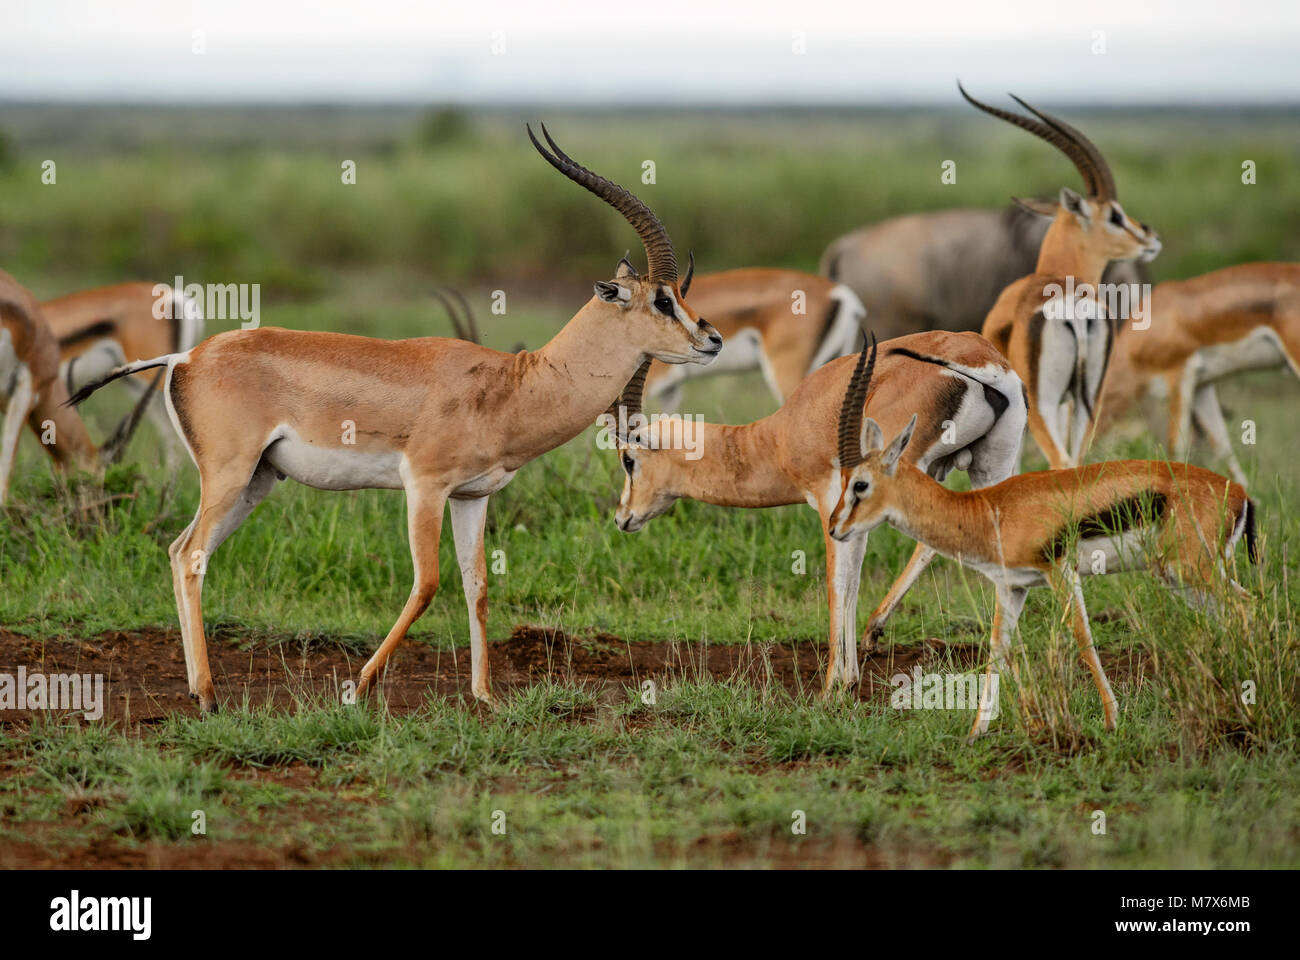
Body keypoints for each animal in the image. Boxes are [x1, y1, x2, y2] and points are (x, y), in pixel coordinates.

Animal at [67, 123, 722, 712]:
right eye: (663, 299)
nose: (712, 339)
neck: (511, 387)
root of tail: (185, 357)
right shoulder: (424, 486)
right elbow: (428, 583)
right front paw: (357, 690)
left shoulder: (472, 496)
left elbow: (477, 585)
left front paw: (486, 696)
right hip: (229, 476)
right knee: (191, 554)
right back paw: (206, 695)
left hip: (256, 481)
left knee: (180, 549)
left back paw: (196, 688)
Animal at [607, 329, 1026, 691]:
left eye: (628, 459)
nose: (622, 517)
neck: (778, 436)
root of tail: (979, 359)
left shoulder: (834, 500)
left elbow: (840, 581)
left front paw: (836, 686)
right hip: (991, 465)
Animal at [827, 341, 1257, 739]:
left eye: (861, 484)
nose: (834, 528)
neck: (988, 510)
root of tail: (1238, 493)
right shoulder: (1012, 587)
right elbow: (997, 651)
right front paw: (976, 733)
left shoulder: (1060, 573)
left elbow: (1083, 638)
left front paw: (1112, 720)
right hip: (1180, 577)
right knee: (1236, 609)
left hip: (1190, 570)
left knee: (1244, 607)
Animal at [961, 83, 1161, 470]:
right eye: (1115, 216)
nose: (1151, 238)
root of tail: (1074, 310)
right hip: (1085, 402)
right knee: (1076, 461)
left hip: (1043, 404)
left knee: (1061, 460)